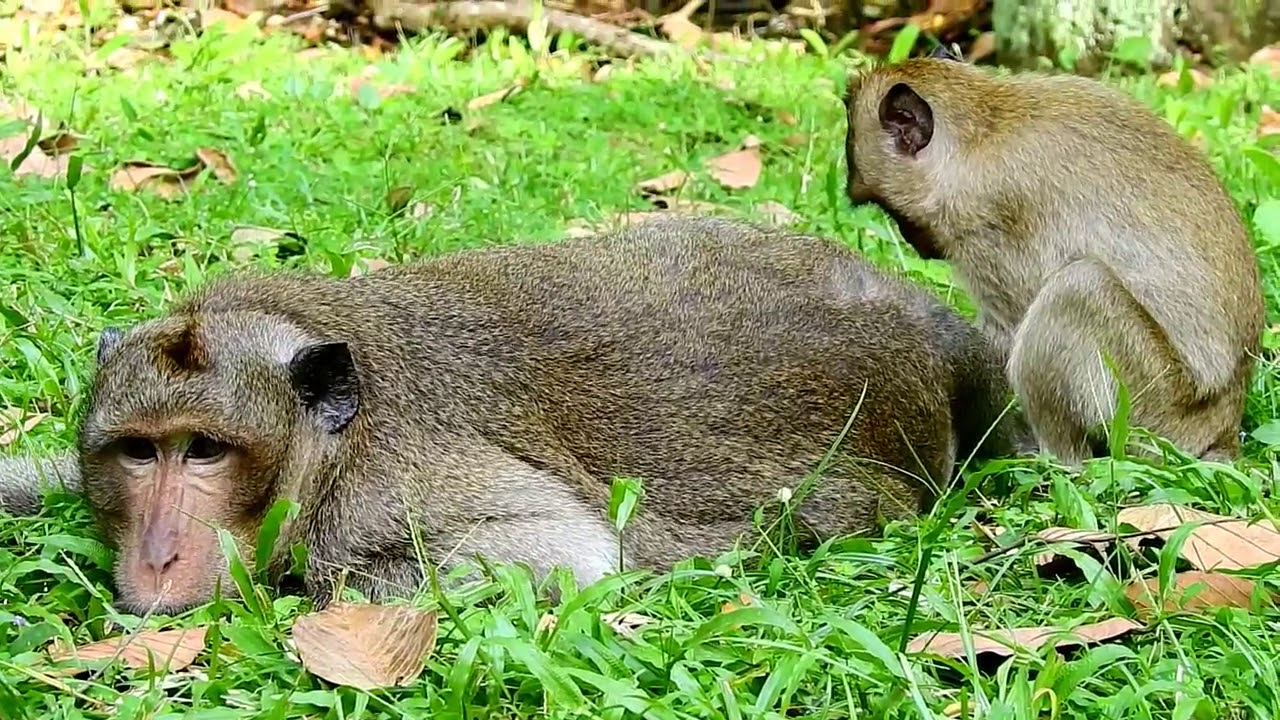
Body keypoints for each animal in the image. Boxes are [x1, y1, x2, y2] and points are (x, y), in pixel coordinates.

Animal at [0, 214, 1028, 615]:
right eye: (141, 454)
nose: (157, 556)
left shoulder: (391, 489)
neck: (330, 443)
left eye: (206, 452)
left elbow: (563, 557)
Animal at [842, 49, 1265, 467]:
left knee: (1077, 286)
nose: (916, 244)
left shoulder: (988, 219)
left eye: (895, 213)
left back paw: (1055, 460)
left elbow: (1001, 336)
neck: (983, 130)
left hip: (1155, 413)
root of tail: (1222, 429)